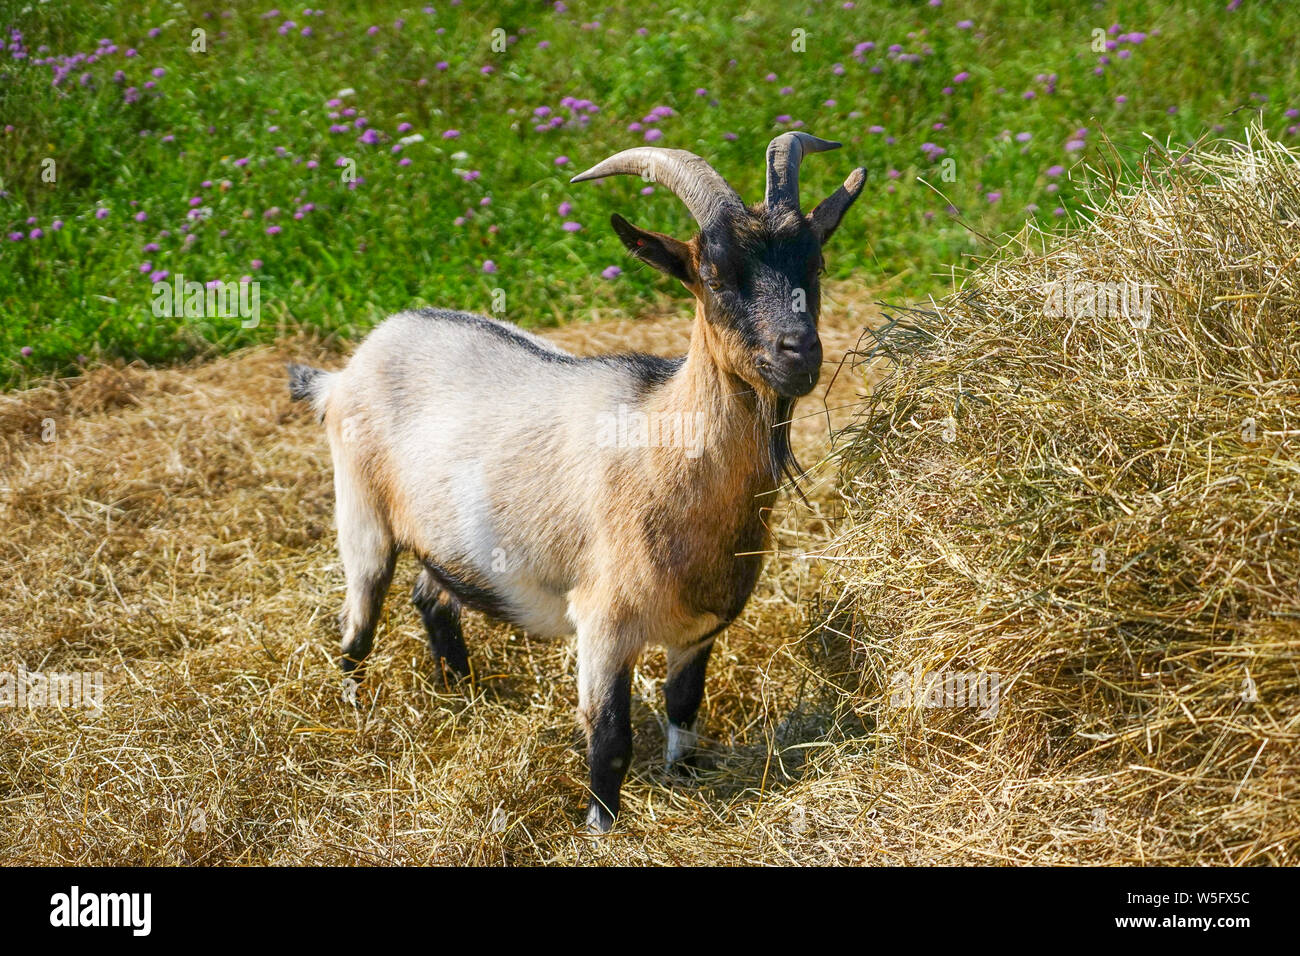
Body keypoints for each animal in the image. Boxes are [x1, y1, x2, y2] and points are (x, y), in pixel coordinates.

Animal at [288, 132, 865, 831]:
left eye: (817, 262)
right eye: (715, 276)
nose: (799, 353)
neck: (660, 444)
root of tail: (344, 372)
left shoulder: (699, 629)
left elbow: (684, 707)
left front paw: (683, 779)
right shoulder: (604, 621)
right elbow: (610, 737)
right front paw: (600, 829)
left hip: (449, 538)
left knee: (433, 599)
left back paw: (462, 694)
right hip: (362, 514)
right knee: (358, 623)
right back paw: (354, 705)